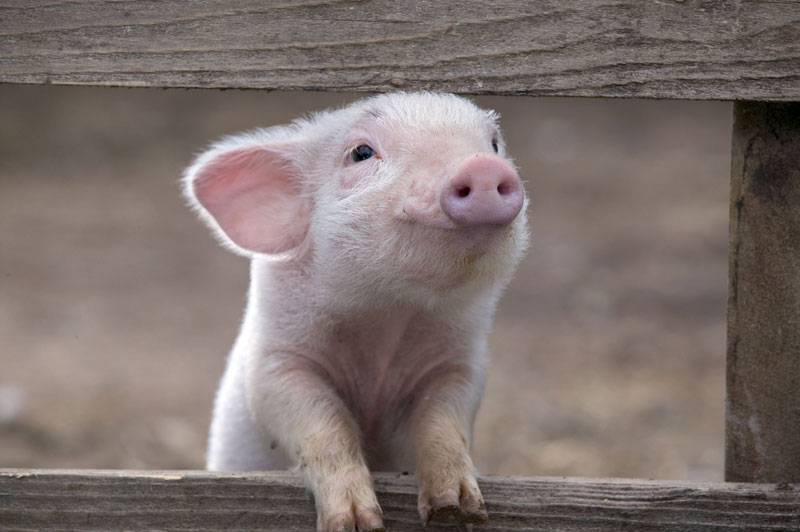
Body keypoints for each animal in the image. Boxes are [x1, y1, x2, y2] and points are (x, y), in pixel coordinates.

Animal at [183, 92, 528, 532]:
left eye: (495, 144)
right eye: (361, 152)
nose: (483, 164)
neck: (387, 319)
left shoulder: (461, 366)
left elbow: (444, 423)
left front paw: (458, 509)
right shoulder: (275, 365)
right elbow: (323, 425)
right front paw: (355, 522)